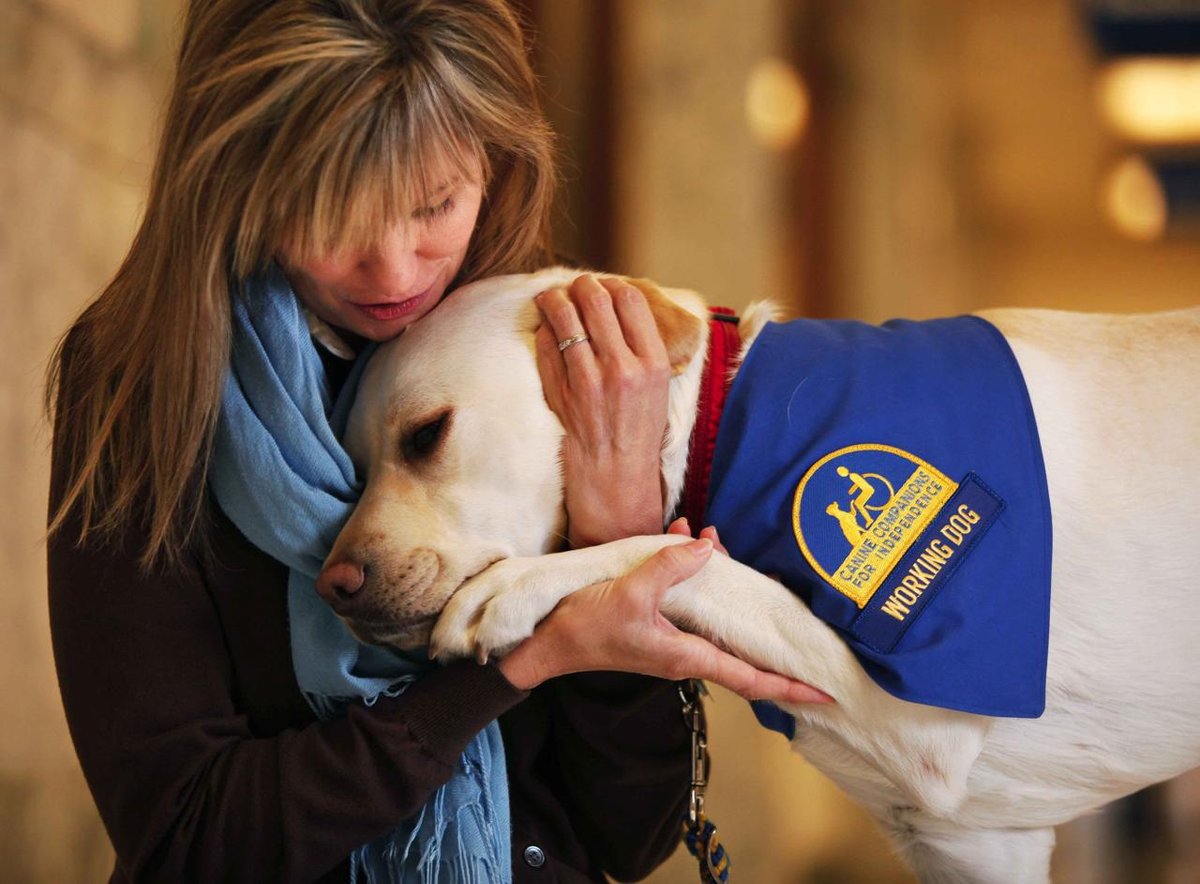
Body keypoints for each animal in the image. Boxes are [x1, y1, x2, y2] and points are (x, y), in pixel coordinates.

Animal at [316, 268, 1200, 882]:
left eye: (427, 435)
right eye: (353, 464)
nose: (334, 586)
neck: (731, 420)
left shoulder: (932, 719)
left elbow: (693, 561)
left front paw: (515, 590)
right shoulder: (975, 844)